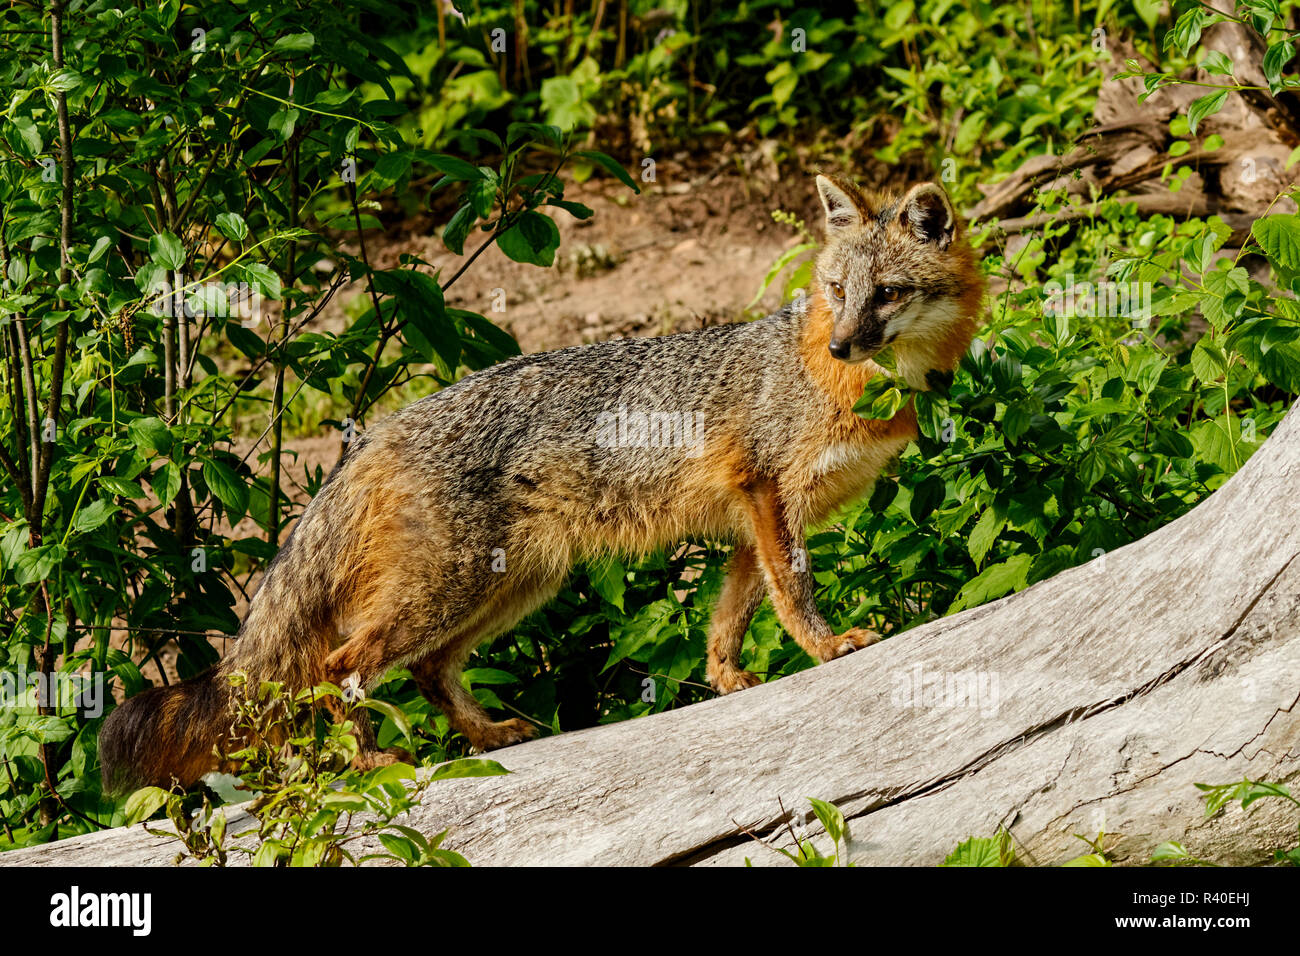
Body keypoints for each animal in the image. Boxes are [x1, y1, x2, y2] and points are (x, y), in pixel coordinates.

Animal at [99, 173, 983, 793]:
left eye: (886, 295)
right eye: (837, 291)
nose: (839, 345)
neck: (854, 390)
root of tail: (382, 427)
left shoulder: (750, 524)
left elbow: (729, 616)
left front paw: (728, 681)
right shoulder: (769, 496)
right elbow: (793, 596)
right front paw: (827, 648)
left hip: (511, 587)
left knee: (426, 670)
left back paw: (487, 737)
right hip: (449, 592)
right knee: (341, 665)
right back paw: (371, 761)